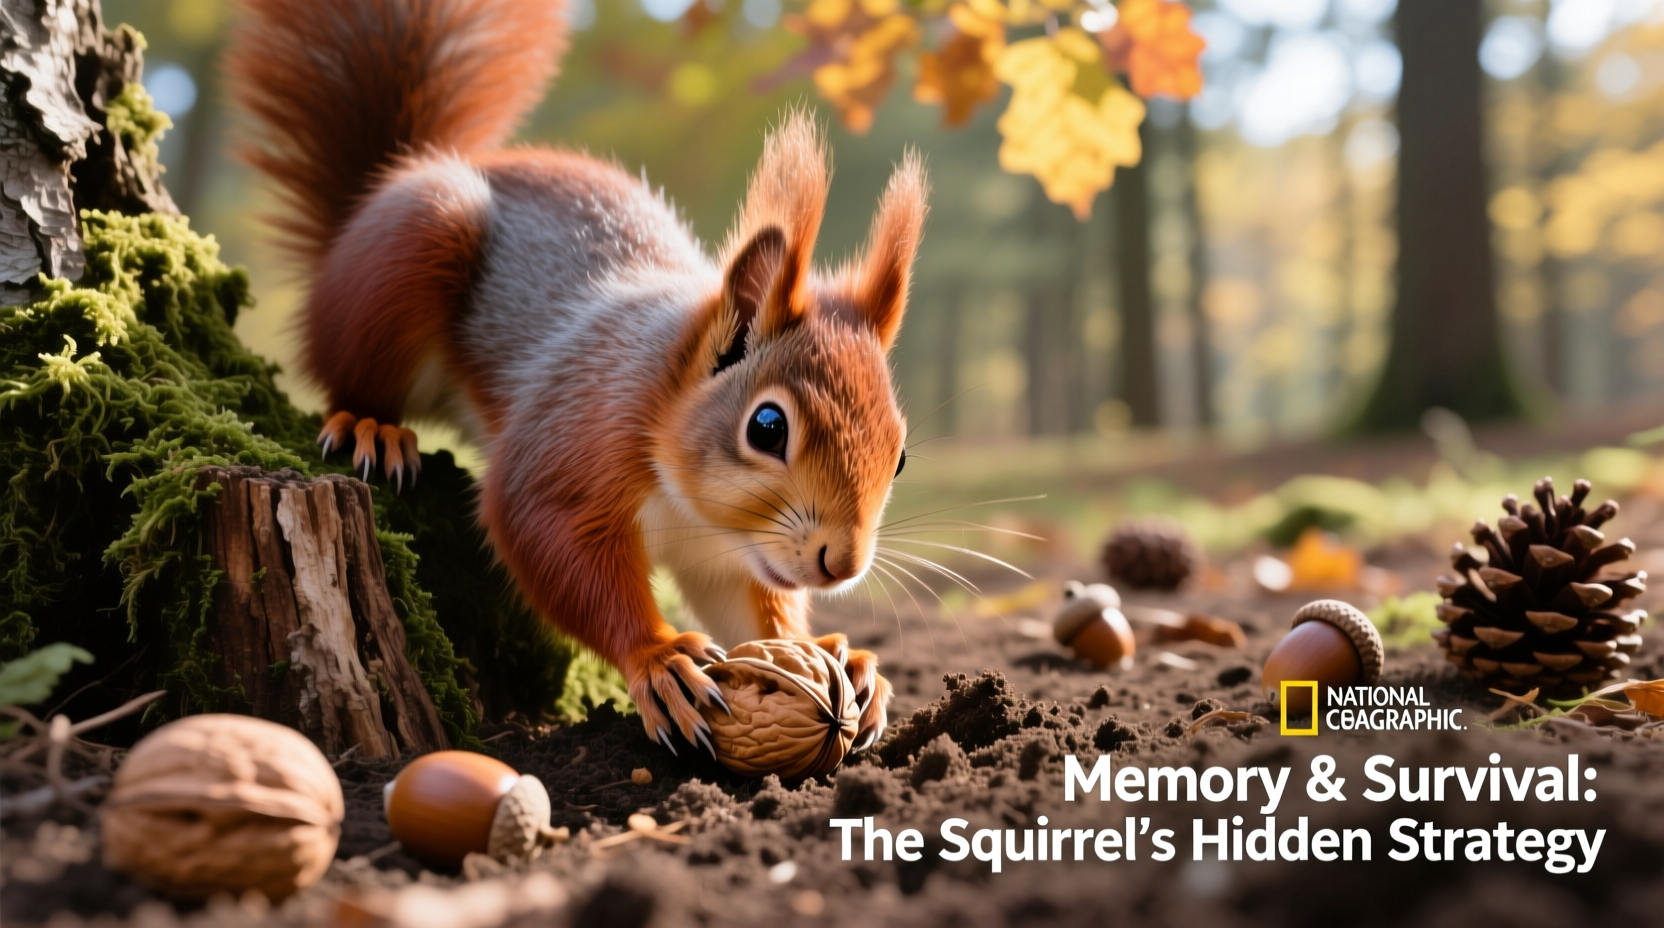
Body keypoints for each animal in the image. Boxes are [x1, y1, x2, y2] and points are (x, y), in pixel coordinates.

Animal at [226, 0, 924, 755]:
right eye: (767, 427)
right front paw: (661, 659)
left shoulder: (729, 556)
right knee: (348, 372)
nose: (843, 565)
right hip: (408, 255)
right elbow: (546, 533)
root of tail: (380, 192)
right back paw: (371, 426)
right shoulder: (574, 431)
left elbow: (757, 615)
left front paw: (831, 656)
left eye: (900, 455)